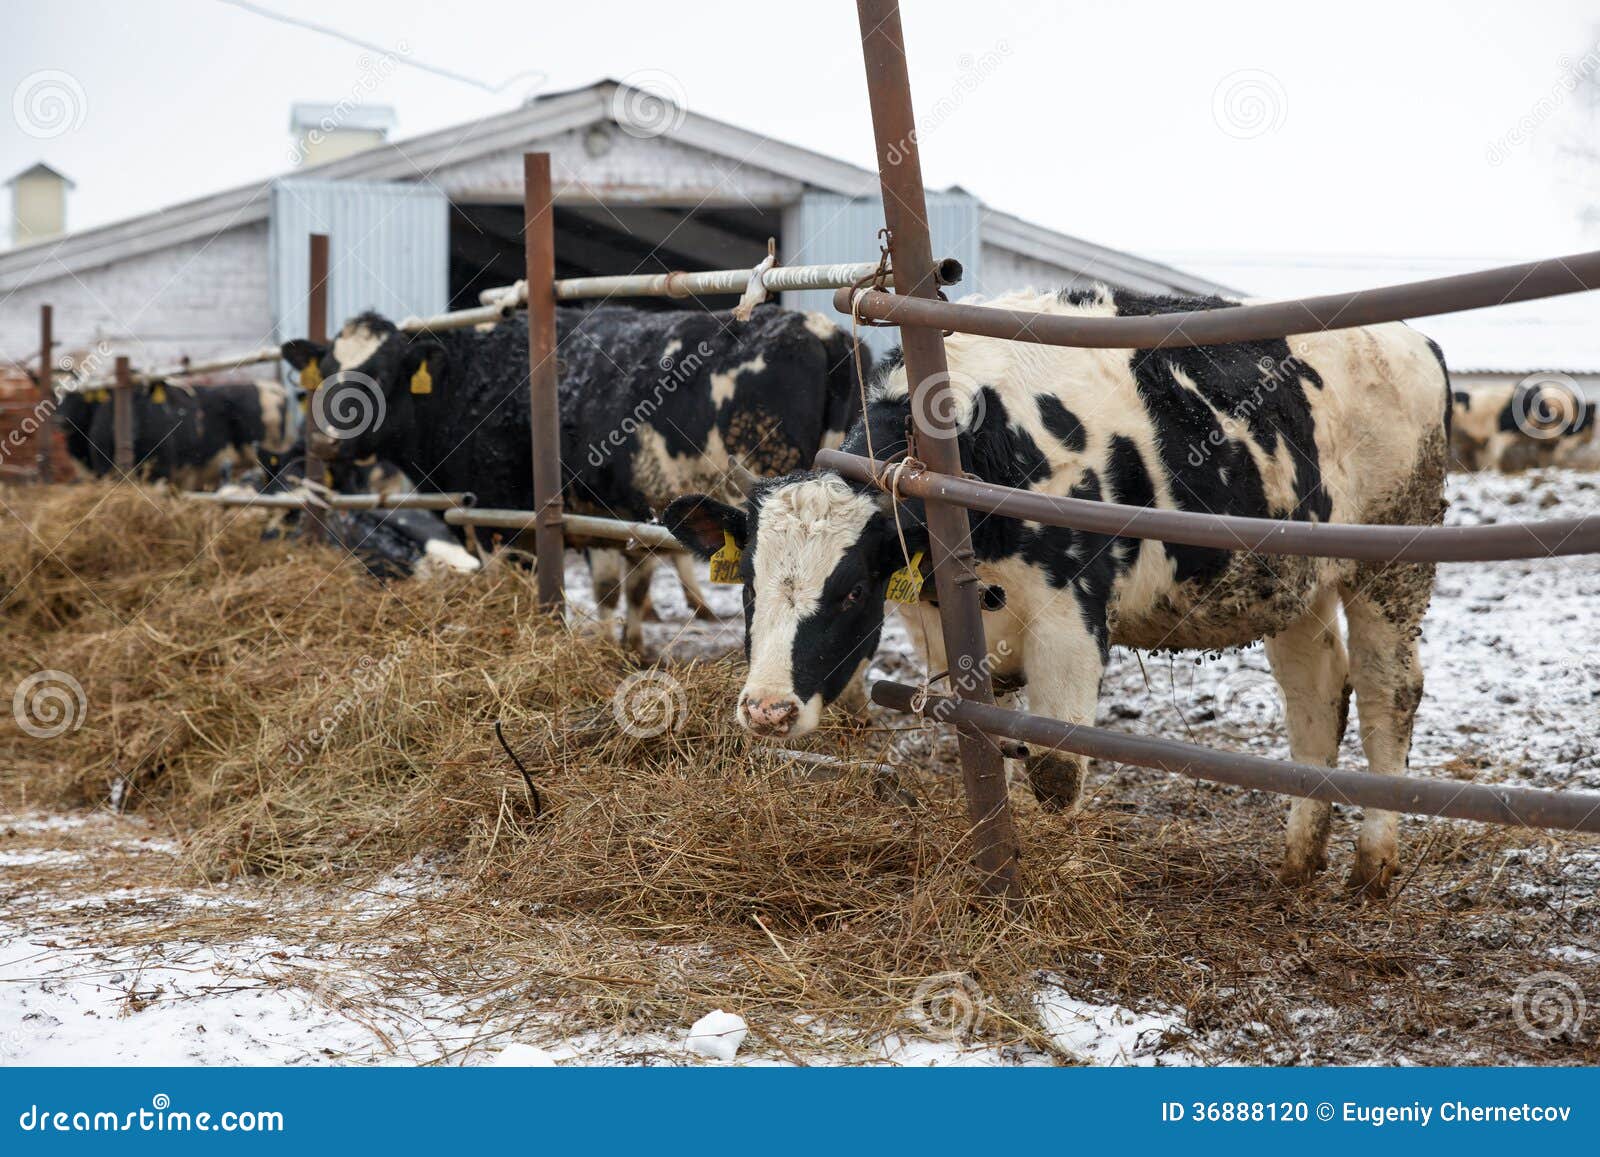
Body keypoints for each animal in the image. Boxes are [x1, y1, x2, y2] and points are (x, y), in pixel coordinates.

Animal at [279, 304, 868, 649]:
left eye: (380, 374)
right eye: (325, 370)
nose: (324, 439)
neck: (472, 378)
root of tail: (820, 330)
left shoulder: (510, 519)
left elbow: (594, 589)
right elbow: (631, 586)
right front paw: (630, 648)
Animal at [663, 286, 1452, 900]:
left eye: (853, 591)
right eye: (749, 586)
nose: (766, 711)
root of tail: (1415, 339)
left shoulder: (1071, 612)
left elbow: (1055, 768)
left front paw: (1061, 870)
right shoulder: (944, 620)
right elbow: (989, 734)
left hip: (1394, 559)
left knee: (1387, 690)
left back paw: (1373, 864)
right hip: (1293, 577)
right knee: (1315, 691)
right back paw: (1298, 857)